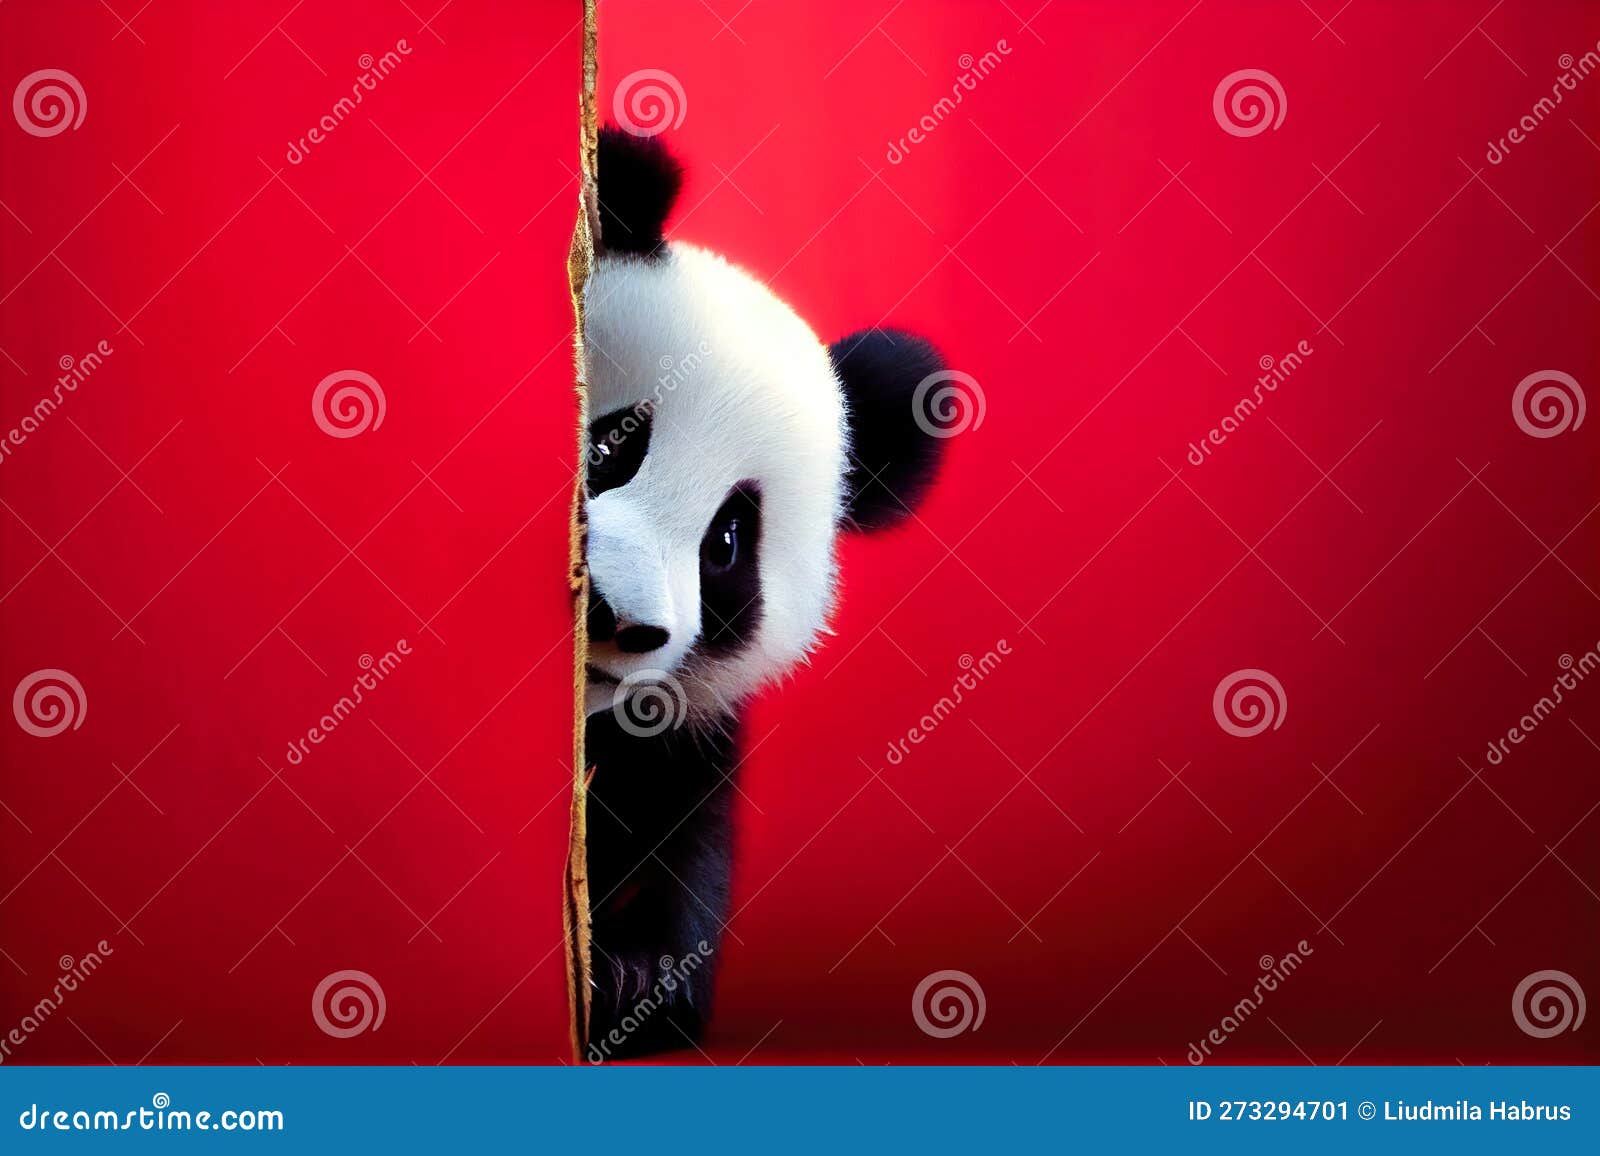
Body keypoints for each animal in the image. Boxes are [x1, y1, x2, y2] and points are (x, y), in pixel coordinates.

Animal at [580, 125, 947, 1059]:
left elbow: (688, 848)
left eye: (726, 546)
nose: (620, 618)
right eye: (612, 445)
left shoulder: (689, 734)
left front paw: (632, 979)